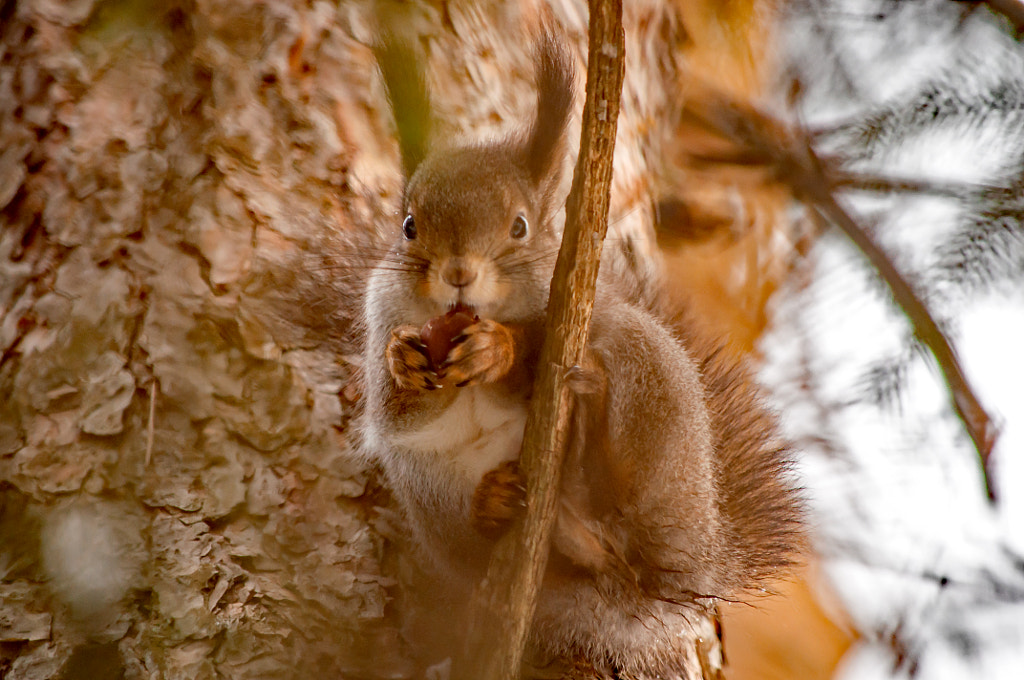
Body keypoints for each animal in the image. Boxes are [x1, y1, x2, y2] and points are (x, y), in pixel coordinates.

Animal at [359, 30, 803, 678]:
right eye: (410, 226)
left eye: (519, 225)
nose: (458, 273)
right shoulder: (381, 317)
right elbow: (392, 413)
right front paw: (405, 361)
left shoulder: (580, 305)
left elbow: (538, 349)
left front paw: (498, 350)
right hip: (428, 491)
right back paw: (501, 508)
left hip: (653, 392)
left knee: (620, 495)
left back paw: (592, 447)